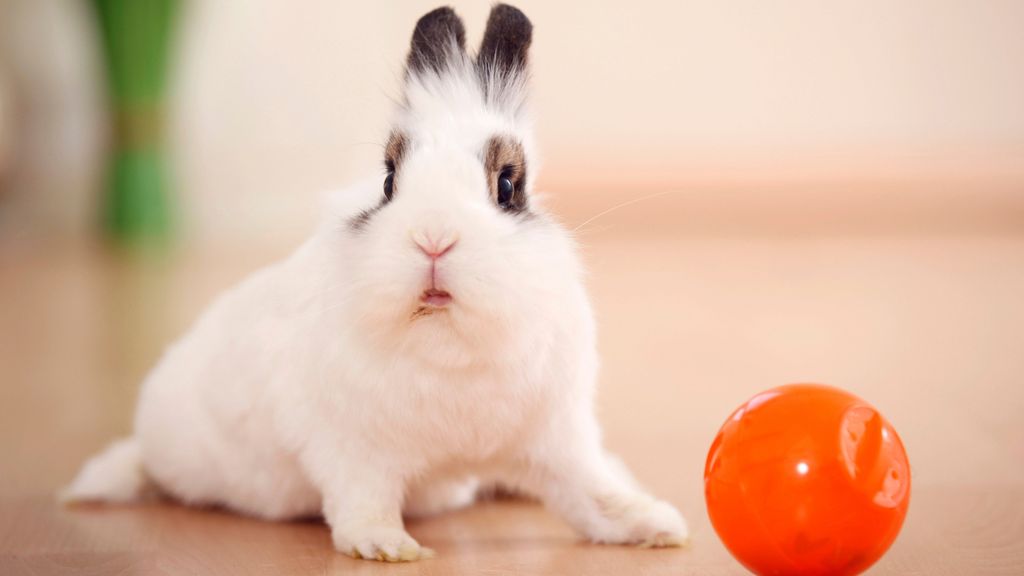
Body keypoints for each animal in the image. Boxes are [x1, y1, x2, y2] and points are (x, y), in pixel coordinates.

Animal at [63, 4, 688, 562]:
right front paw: (388, 546)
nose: (433, 237)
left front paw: (658, 525)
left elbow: (592, 496)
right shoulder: (352, 451)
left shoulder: (557, 443)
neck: (446, 343)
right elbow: (364, 503)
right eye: (389, 181)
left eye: (509, 186)